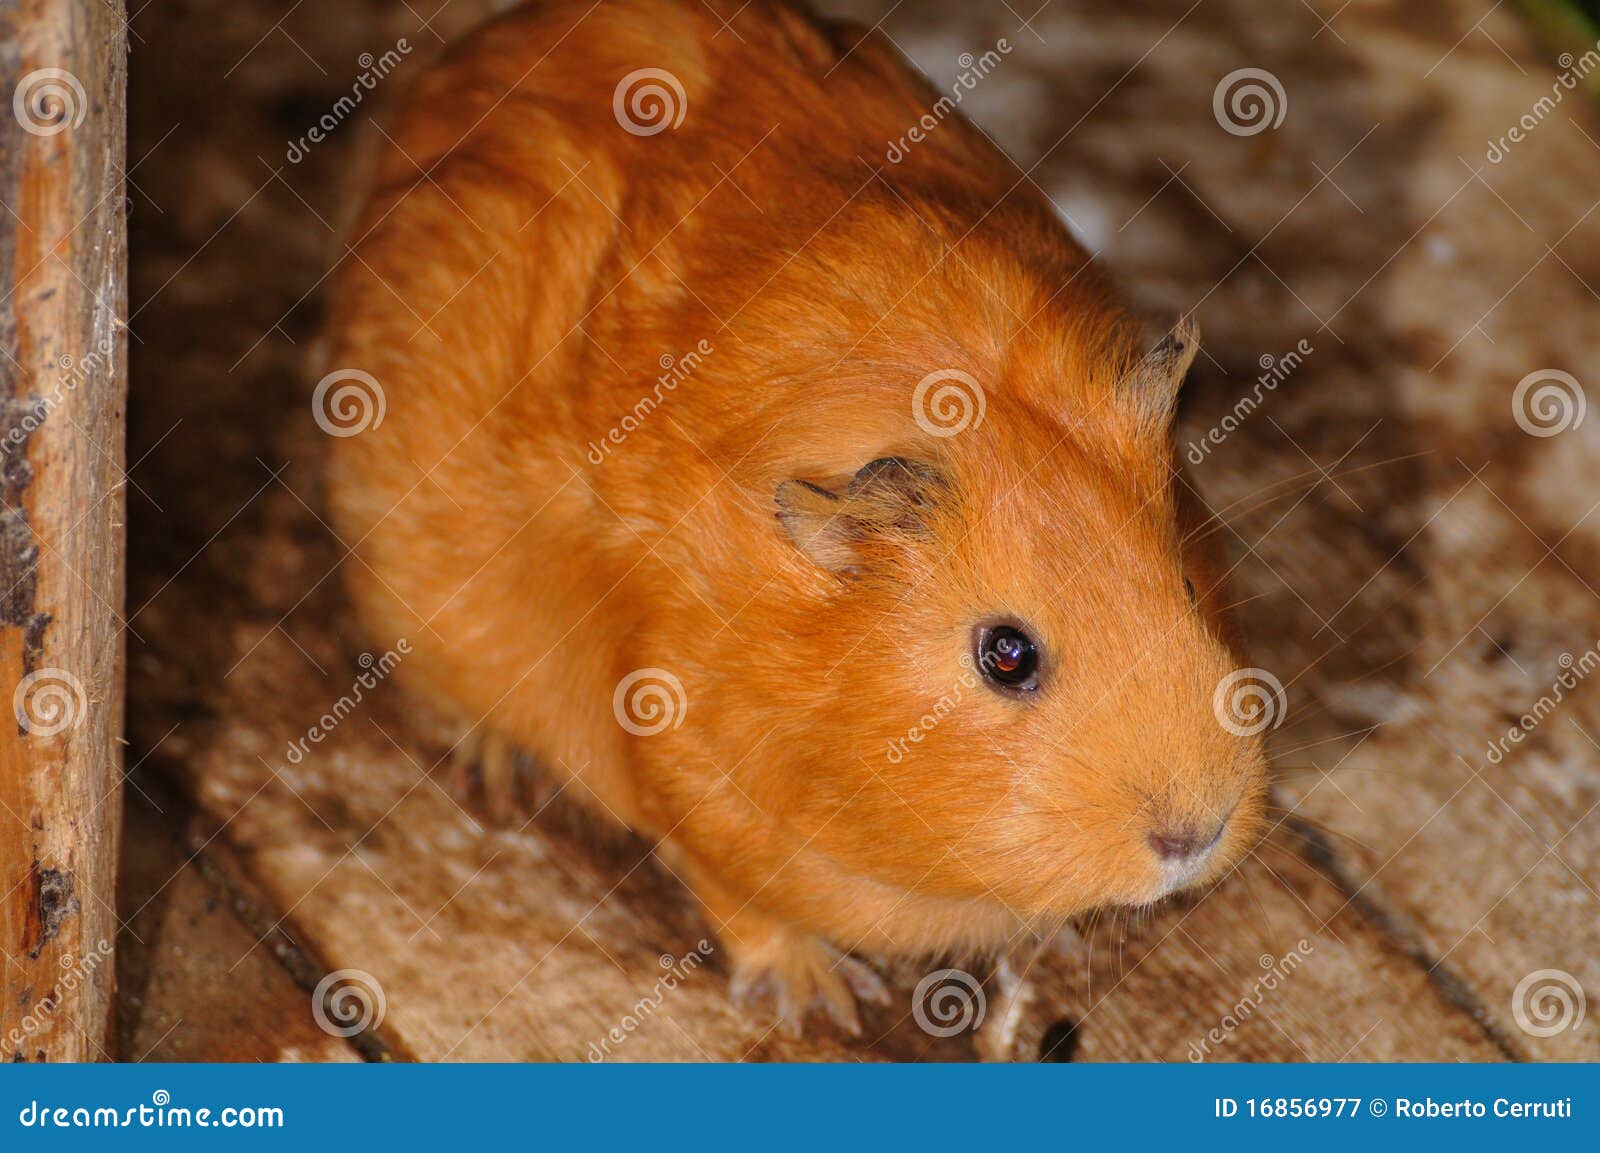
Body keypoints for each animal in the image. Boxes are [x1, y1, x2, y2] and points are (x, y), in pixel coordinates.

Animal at [324, 0, 1271, 1036]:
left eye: (1186, 582)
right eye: (1006, 654)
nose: (1196, 832)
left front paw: (1043, 940)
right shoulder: (687, 775)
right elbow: (739, 899)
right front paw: (823, 1003)